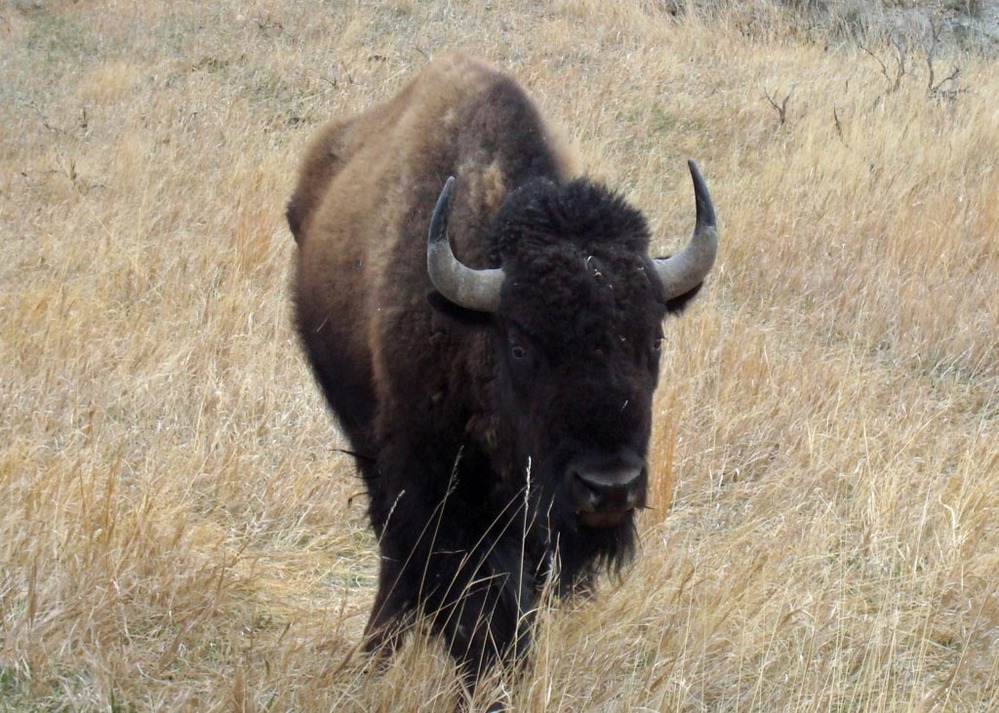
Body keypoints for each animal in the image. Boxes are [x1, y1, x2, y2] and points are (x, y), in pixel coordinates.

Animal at [286, 53, 717, 691]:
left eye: (654, 340)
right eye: (519, 345)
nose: (608, 487)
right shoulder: (429, 484)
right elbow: (466, 596)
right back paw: (377, 651)